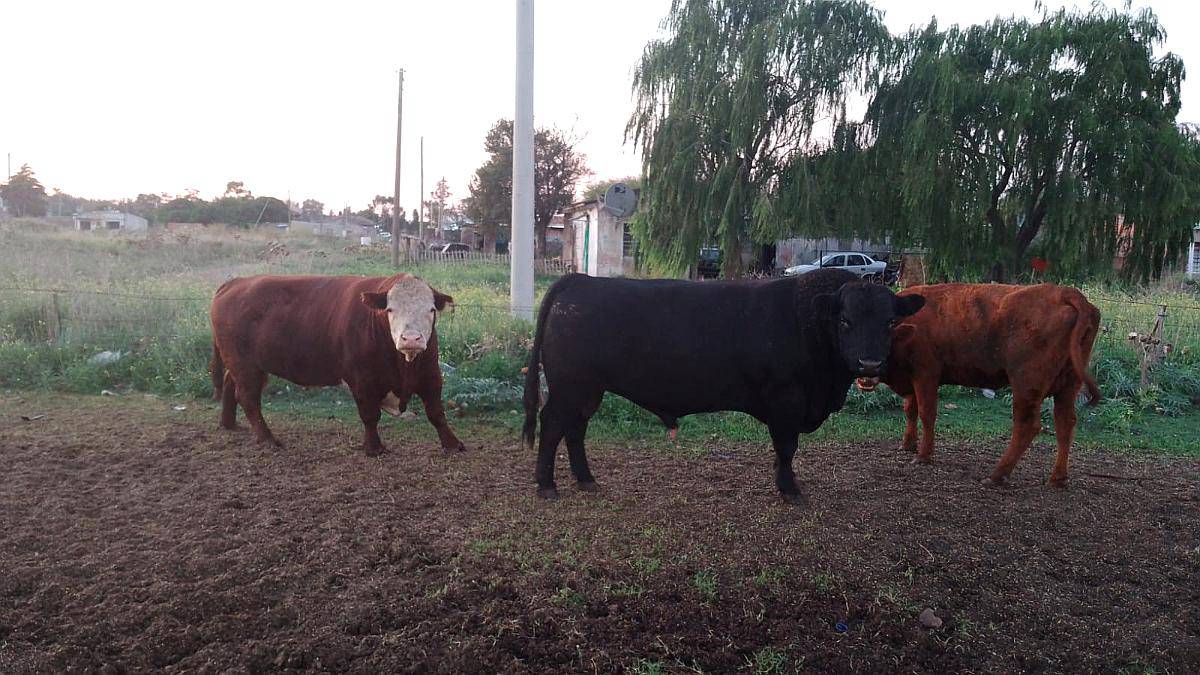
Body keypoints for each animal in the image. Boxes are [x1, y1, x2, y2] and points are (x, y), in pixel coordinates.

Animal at [209, 274, 465, 456]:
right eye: (390, 309)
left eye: (430, 309)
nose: (411, 339)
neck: (404, 364)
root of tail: (237, 282)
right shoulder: (362, 380)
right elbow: (370, 415)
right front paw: (374, 448)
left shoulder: (431, 375)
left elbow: (436, 413)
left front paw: (453, 443)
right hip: (244, 364)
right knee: (248, 398)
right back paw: (267, 439)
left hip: (245, 365)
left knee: (230, 385)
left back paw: (229, 424)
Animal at [522, 269, 926, 503]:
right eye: (845, 321)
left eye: (890, 321)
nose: (869, 364)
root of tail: (581, 279)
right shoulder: (786, 400)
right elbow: (787, 446)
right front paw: (789, 489)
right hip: (570, 386)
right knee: (553, 425)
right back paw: (546, 485)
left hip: (588, 390)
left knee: (575, 429)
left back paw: (586, 480)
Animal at [875, 283, 1101, 486]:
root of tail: (1063, 292)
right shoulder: (913, 378)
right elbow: (910, 409)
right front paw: (907, 445)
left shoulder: (926, 375)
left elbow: (926, 413)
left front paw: (923, 456)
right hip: (1068, 386)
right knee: (1065, 424)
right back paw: (1057, 479)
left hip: (1026, 385)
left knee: (1027, 425)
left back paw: (996, 475)